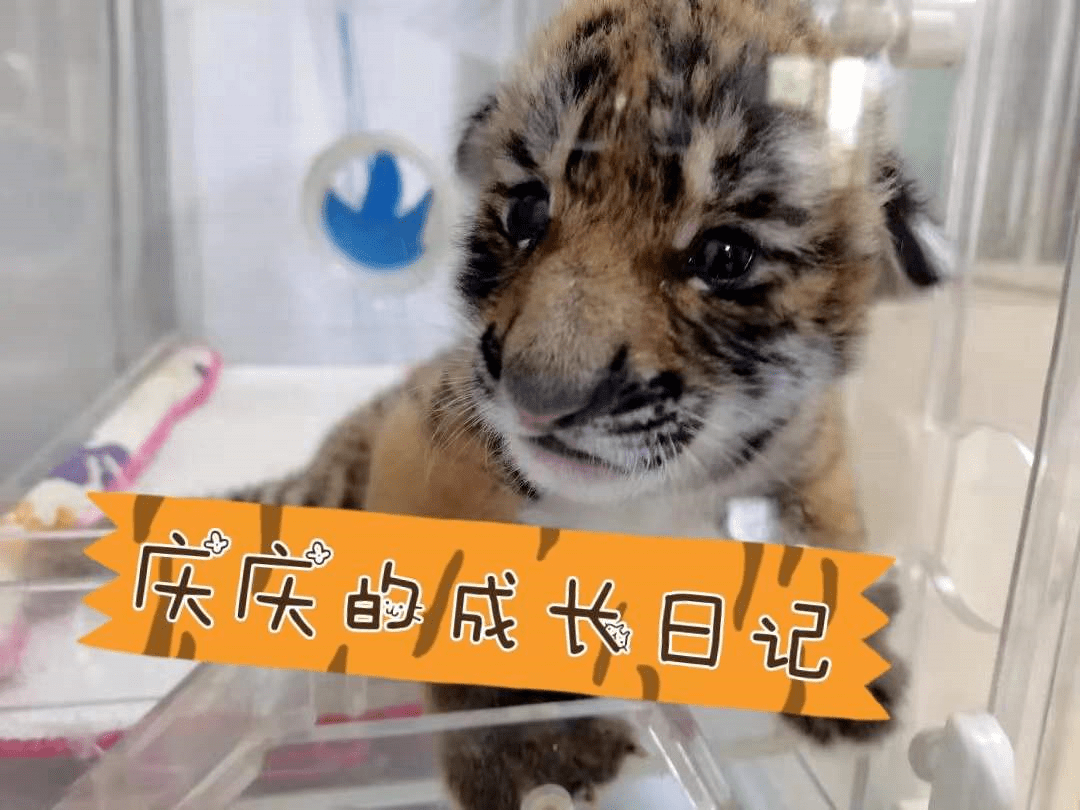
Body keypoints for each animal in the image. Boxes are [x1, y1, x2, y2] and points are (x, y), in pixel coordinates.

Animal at [222, 0, 952, 806]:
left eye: (725, 256)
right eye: (527, 212)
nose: (539, 398)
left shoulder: (807, 455)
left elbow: (826, 536)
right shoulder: (430, 455)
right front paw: (536, 755)